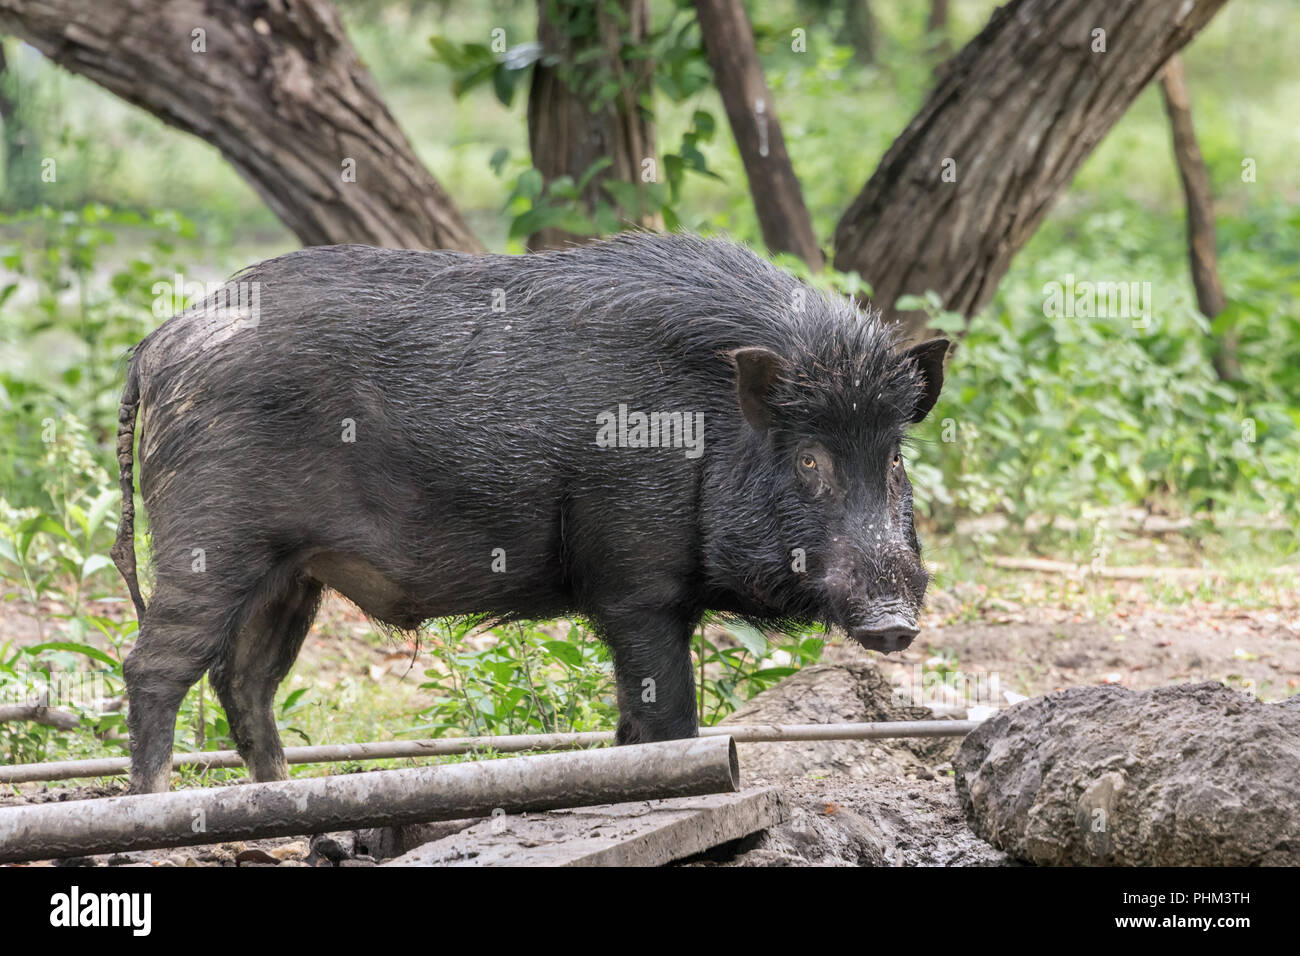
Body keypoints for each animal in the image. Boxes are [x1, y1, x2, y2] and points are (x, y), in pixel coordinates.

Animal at [111, 233, 948, 793]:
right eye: (809, 458)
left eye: (894, 458)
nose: (894, 622)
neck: (708, 423)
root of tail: (158, 343)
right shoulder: (635, 586)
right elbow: (669, 721)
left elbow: (630, 725)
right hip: (210, 544)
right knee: (153, 668)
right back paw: (152, 808)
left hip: (292, 573)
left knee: (243, 682)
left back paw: (282, 800)